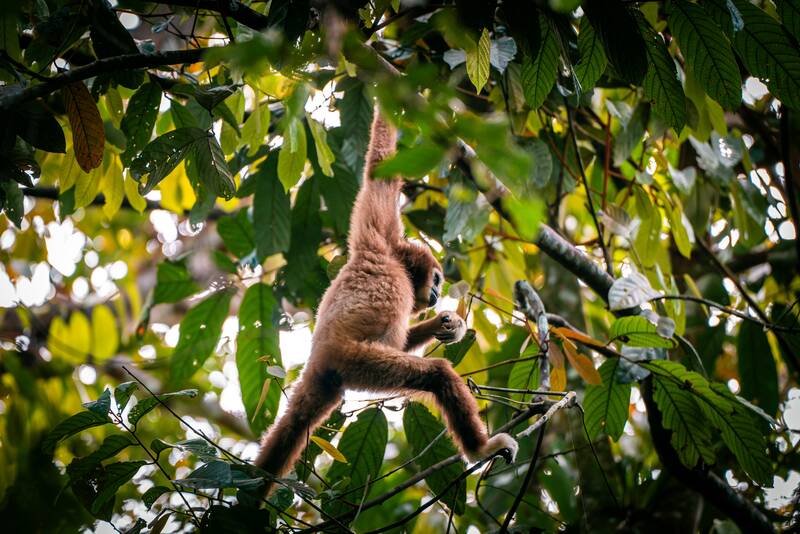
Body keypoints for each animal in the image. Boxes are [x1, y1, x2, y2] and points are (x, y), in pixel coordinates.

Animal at [255, 107, 518, 495]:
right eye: (436, 279)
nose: (436, 293)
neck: (394, 260)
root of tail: (319, 357)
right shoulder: (378, 231)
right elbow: (379, 170)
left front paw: (447, 325)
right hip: (358, 362)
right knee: (437, 374)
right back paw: (480, 449)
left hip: (328, 382)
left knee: (293, 427)